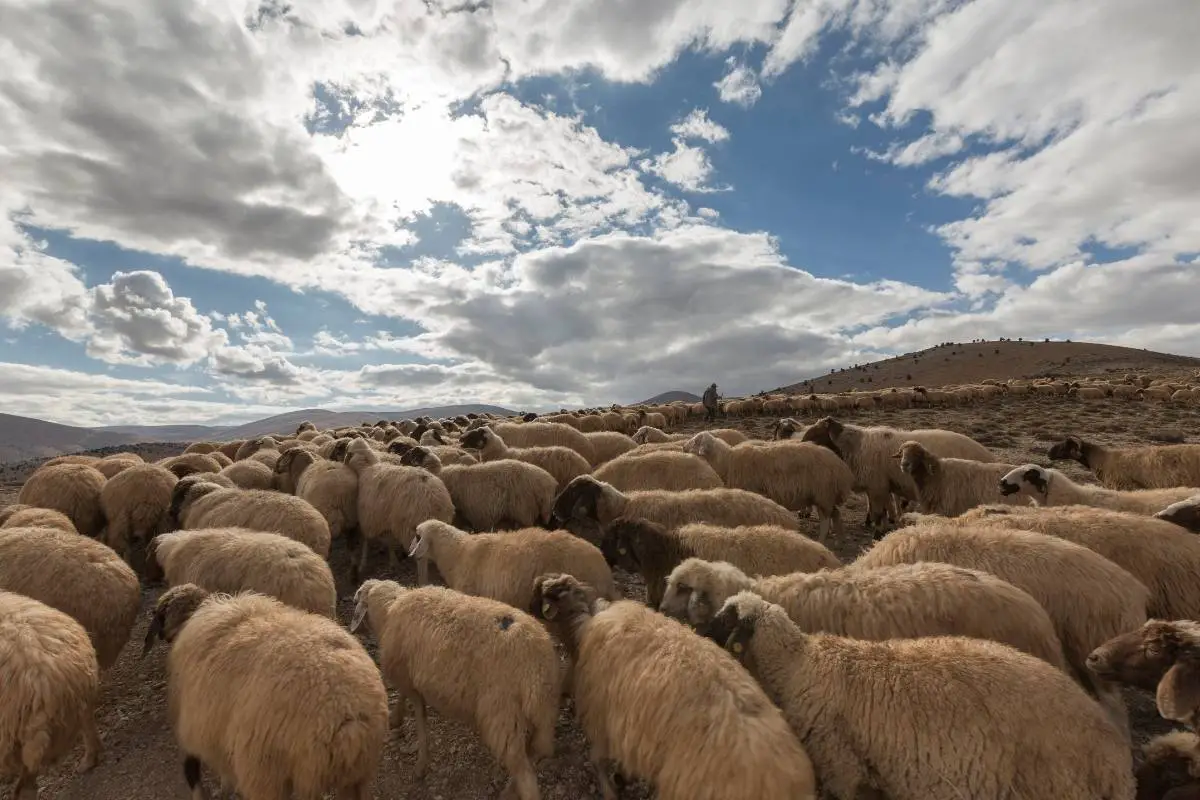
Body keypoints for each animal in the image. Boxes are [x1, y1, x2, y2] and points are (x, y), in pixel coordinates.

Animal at [341, 439, 454, 582]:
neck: (365, 468)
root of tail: (434, 499)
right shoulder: (386, 519)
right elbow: (389, 542)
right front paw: (393, 562)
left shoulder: (368, 517)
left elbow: (366, 541)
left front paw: (362, 564)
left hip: (410, 528)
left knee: (421, 559)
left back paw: (422, 581)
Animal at [349, 581, 560, 797]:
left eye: (357, 601)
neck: (389, 609)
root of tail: (536, 667)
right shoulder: (408, 674)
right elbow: (405, 699)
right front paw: (396, 718)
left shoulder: (407, 675)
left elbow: (419, 718)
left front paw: (421, 764)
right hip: (540, 713)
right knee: (535, 751)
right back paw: (510, 788)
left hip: (502, 712)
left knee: (525, 773)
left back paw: (511, 792)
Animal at [685, 432, 853, 542]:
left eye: (696, 441)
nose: (683, 447)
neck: (728, 461)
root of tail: (841, 467)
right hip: (826, 495)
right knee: (836, 514)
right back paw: (840, 538)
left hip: (823, 493)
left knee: (825, 520)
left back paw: (821, 539)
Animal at [800, 416, 997, 532]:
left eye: (816, 433)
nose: (800, 446)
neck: (855, 446)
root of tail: (990, 456)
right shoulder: (877, 486)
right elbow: (875, 508)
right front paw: (871, 523)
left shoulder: (878, 486)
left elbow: (879, 512)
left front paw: (878, 532)